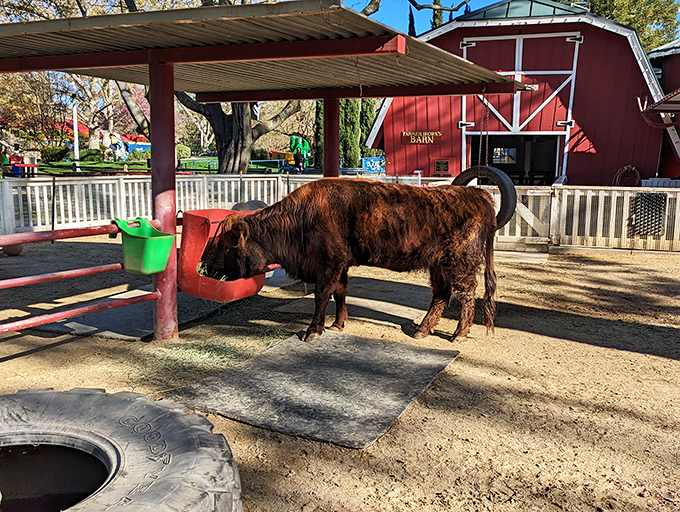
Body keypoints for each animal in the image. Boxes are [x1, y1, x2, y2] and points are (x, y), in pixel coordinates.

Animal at [200, 178, 497, 343]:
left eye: (225, 246)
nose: (205, 266)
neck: (299, 219)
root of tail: (477, 195)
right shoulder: (340, 265)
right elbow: (340, 292)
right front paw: (338, 323)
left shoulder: (329, 263)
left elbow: (322, 295)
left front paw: (313, 330)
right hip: (439, 265)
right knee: (442, 295)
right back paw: (422, 330)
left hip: (460, 264)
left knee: (466, 295)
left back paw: (459, 334)